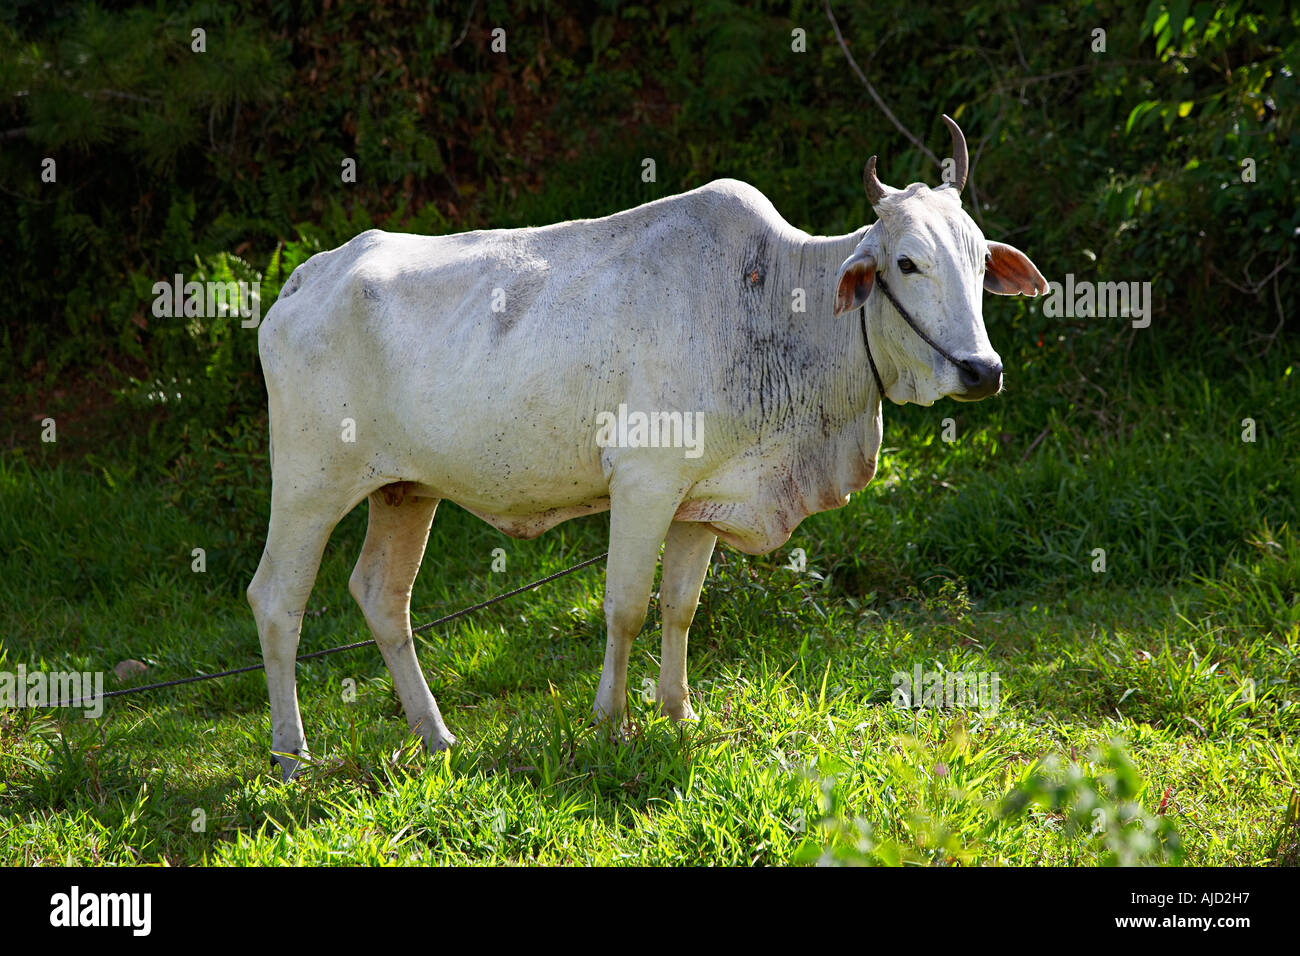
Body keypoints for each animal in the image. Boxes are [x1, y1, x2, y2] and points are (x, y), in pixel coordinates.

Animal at [248, 115, 1047, 779]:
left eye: (980, 261)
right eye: (908, 263)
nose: (982, 370)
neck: (777, 307)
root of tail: (306, 276)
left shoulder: (705, 498)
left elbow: (681, 606)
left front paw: (679, 712)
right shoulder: (643, 483)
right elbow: (626, 605)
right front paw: (613, 723)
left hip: (405, 491)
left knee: (383, 597)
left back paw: (436, 735)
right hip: (309, 485)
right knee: (278, 599)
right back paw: (291, 756)